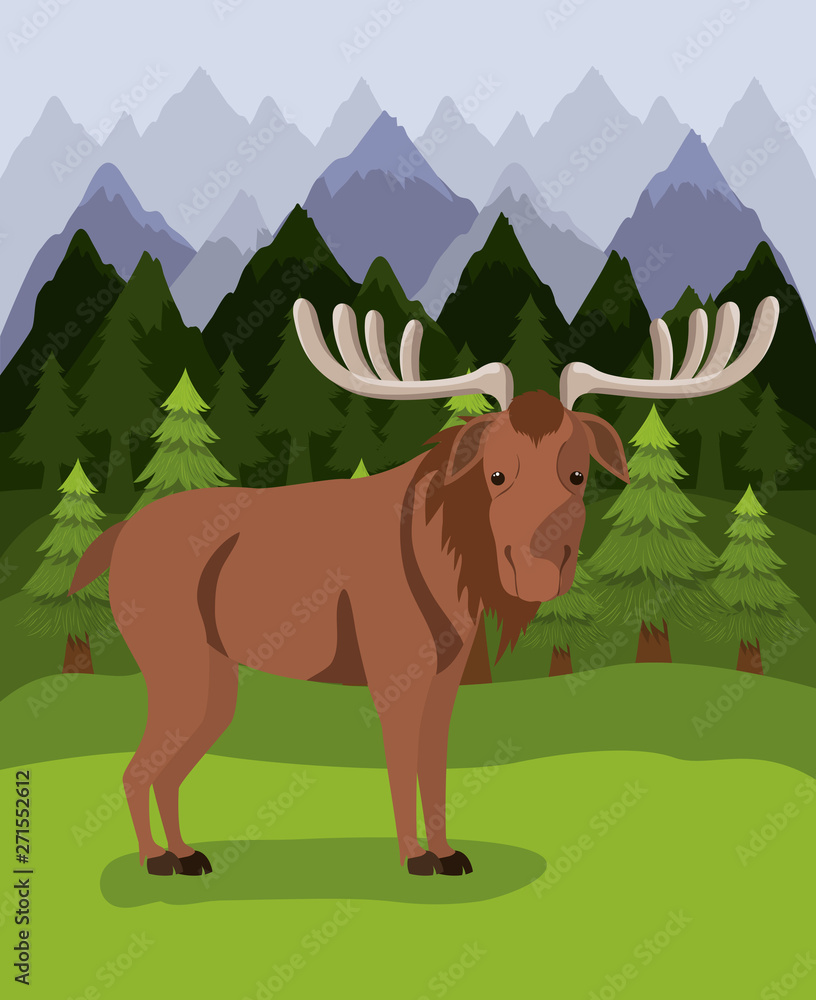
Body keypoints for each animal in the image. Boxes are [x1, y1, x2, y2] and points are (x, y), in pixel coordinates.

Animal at [69, 294, 779, 878]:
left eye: (577, 473)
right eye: (496, 473)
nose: (537, 568)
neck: (456, 571)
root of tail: (114, 540)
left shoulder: (447, 671)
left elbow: (434, 765)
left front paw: (447, 852)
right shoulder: (393, 669)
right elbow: (400, 763)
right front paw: (414, 856)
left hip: (213, 675)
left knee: (165, 767)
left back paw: (186, 854)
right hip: (175, 659)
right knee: (138, 767)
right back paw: (157, 859)